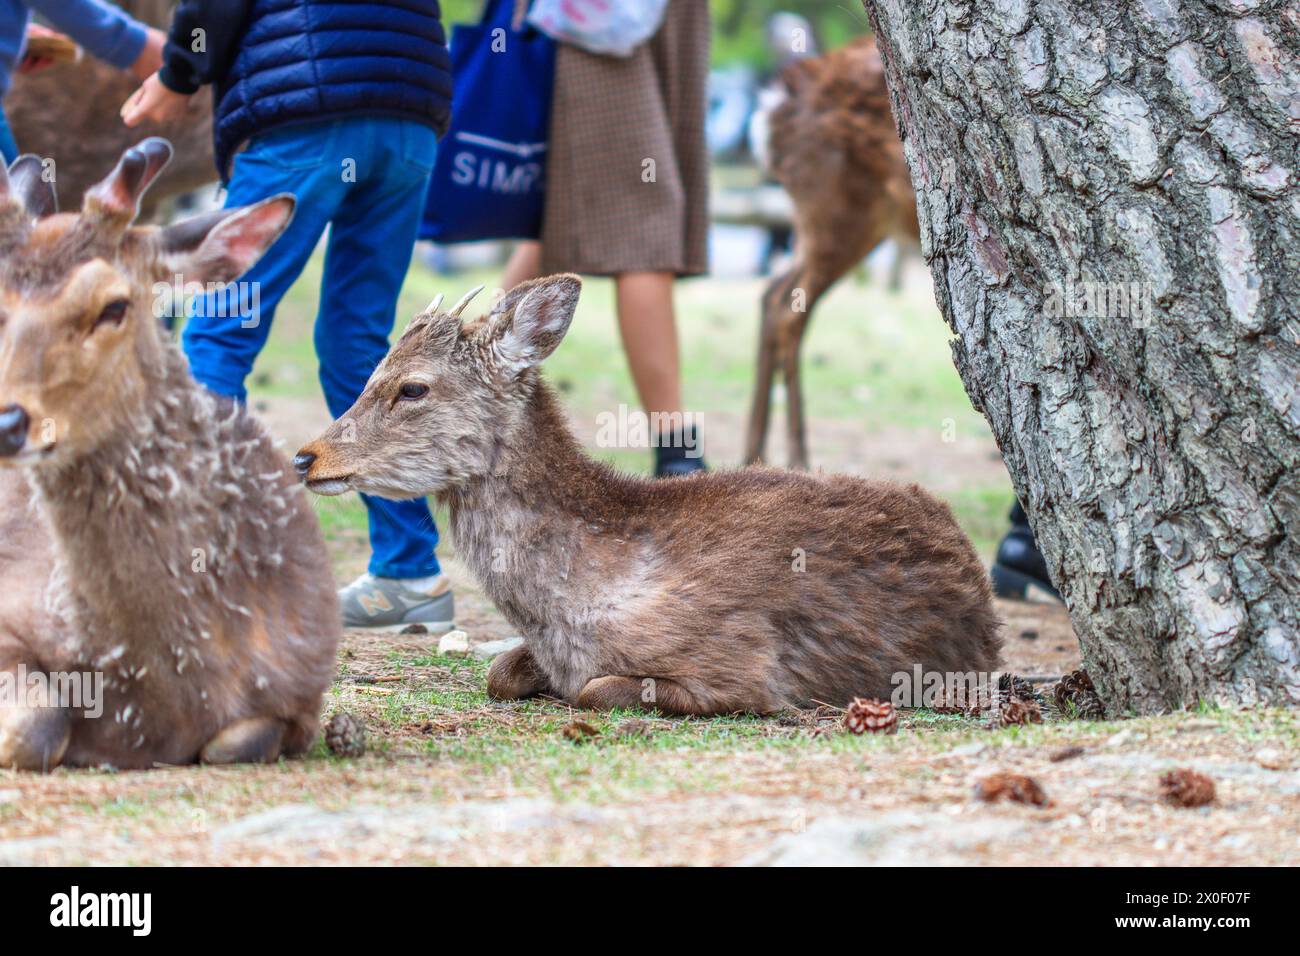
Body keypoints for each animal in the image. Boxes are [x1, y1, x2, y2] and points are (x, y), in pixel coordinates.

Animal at [746, 35, 921, 470]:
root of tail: (773, 108)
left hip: (846, 220)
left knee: (774, 292)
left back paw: (755, 455)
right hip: (835, 203)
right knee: (788, 309)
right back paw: (796, 458)